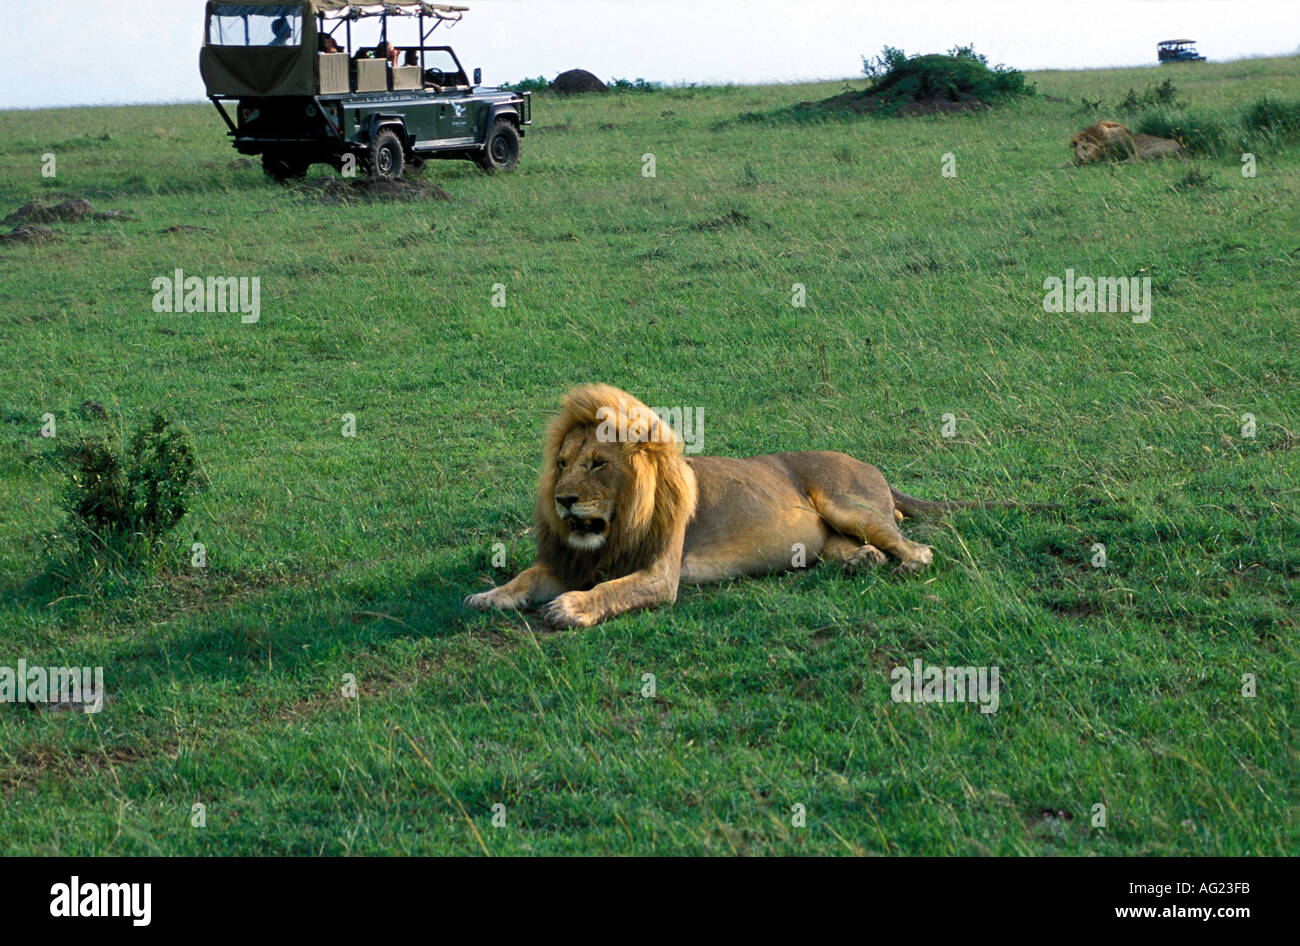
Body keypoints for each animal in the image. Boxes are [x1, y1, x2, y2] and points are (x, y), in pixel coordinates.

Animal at [465, 384, 1003, 629]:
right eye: (561, 464)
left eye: (598, 464)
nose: (563, 499)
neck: (613, 530)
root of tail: (873, 467)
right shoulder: (569, 561)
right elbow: (526, 577)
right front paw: (488, 596)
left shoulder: (659, 575)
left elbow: (612, 589)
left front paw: (571, 607)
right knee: (857, 549)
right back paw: (860, 563)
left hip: (850, 505)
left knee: (917, 549)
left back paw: (904, 566)